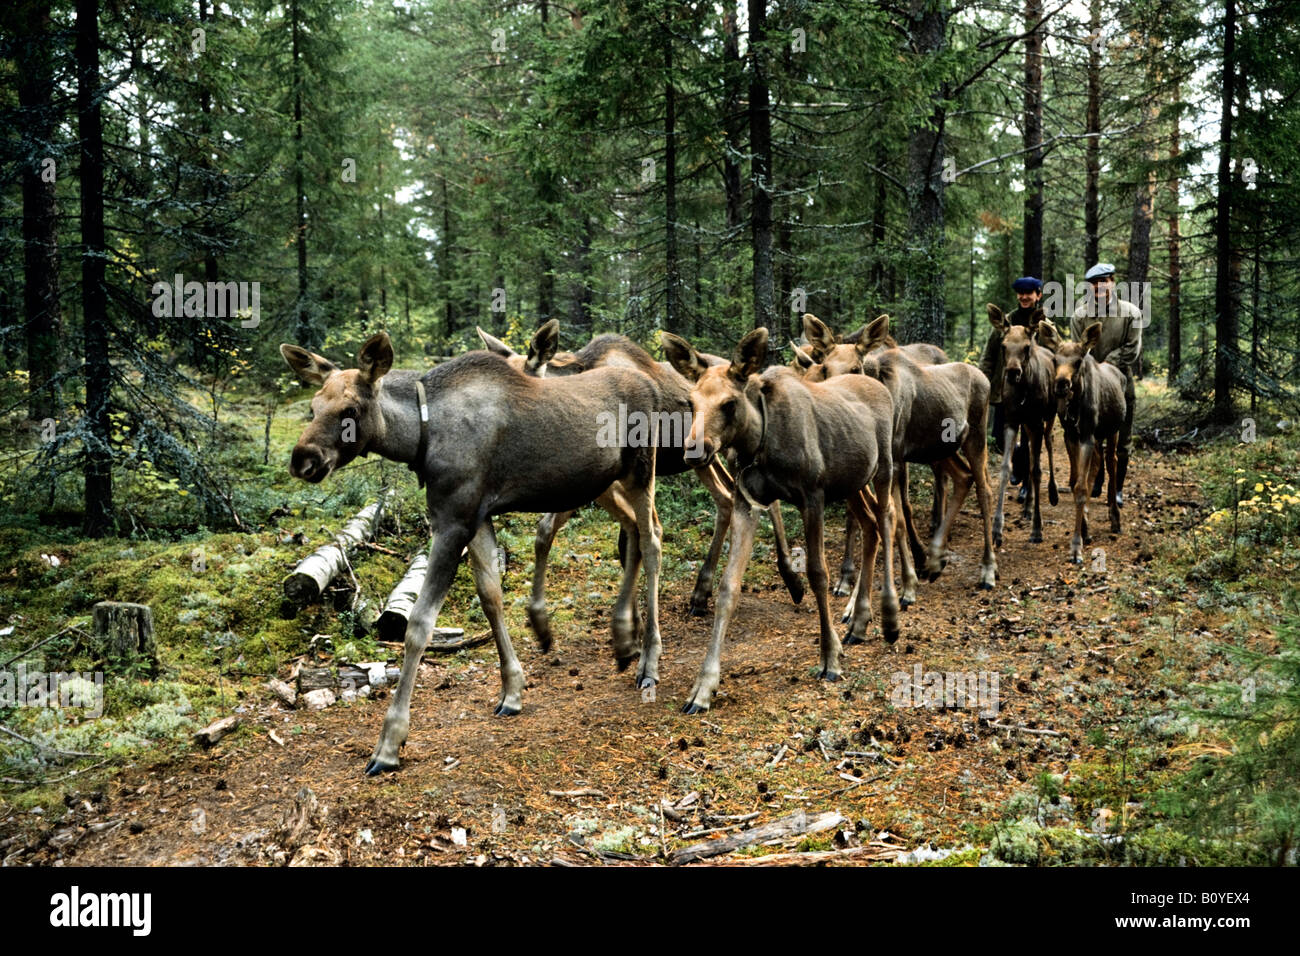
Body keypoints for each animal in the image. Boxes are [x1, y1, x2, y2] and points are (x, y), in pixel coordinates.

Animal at [281, 333, 665, 775]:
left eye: (350, 409)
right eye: (313, 406)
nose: (302, 459)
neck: (419, 437)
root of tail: (653, 387)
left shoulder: (453, 521)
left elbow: (419, 626)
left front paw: (390, 742)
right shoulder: (478, 518)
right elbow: (491, 597)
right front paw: (513, 690)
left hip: (641, 470)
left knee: (653, 537)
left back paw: (649, 663)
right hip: (604, 483)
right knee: (635, 531)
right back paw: (624, 639)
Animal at [476, 322, 805, 649]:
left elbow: (633, 541)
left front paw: (633, 629)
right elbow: (548, 532)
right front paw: (545, 625)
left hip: (727, 449)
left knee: (761, 498)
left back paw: (790, 577)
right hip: (702, 457)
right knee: (726, 497)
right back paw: (702, 591)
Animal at [662, 328, 899, 714]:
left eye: (729, 403)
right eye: (690, 402)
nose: (694, 450)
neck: (758, 442)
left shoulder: (813, 496)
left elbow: (818, 573)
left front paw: (829, 657)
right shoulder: (746, 501)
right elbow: (729, 586)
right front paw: (703, 686)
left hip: (884, 468)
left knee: (888, 518)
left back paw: (890, 618)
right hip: (851, 482)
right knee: (870, 526)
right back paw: (861, 622)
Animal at [986, 305, 1059, 547]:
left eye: (1026, 347)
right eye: (1003, 345)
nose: (1012, 372)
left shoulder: (1036, 421)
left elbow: (1037, 470)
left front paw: (1037, 529)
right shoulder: (1012, 421)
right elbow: (1006, 467)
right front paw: (997, 530)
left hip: (1050, 416)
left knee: (1048, 444)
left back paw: (1053, 493)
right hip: (1027, 424)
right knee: (1030, 456)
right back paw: (1027, 507)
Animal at [1035, 321, 1125, 563]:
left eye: (1077, 361)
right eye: (1055, 360)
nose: (1061, 384)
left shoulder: (1086, 436)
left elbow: (1082, 488)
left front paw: (1076, 547)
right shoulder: (1072, 435)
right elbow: (1077, 482)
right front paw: (1084, 530)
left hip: (1113, 430)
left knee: (1112, 462)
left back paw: (1115, 517)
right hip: (1097, 436)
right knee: (1097, 464)